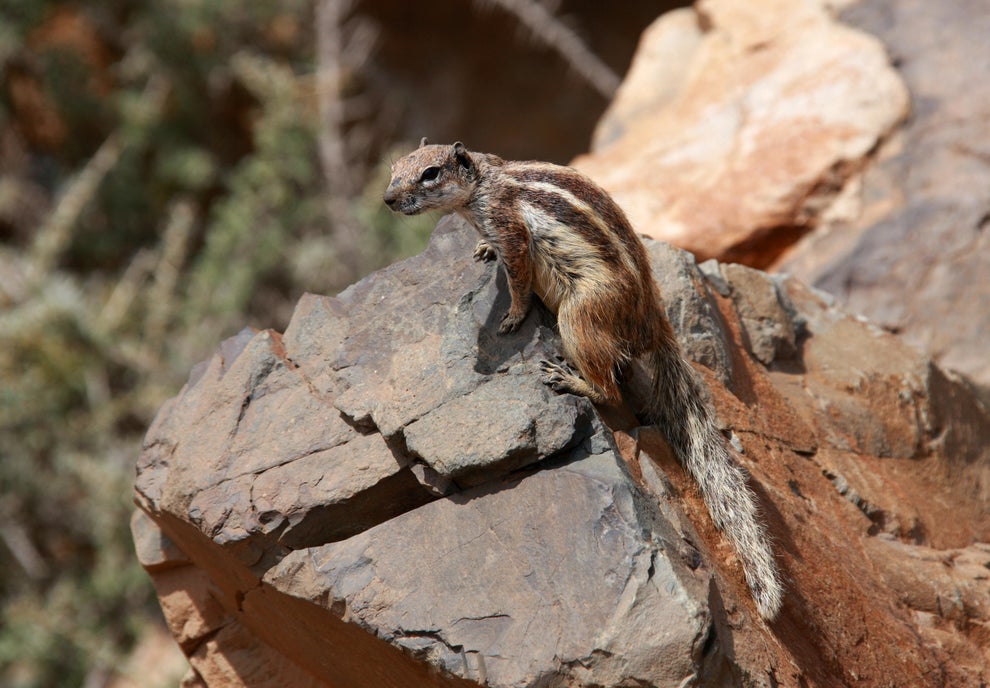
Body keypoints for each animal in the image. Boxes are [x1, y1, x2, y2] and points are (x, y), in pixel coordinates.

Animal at [384, 139, 783, 621]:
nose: (388, 199)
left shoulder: (509, 227)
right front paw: (482, 249)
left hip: (580, 316)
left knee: (608, 386)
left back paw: (572, 380)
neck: (481, 182)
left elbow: (518, 278)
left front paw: (512, 316)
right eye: (393, 170)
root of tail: (652, 323)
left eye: (430, 173)